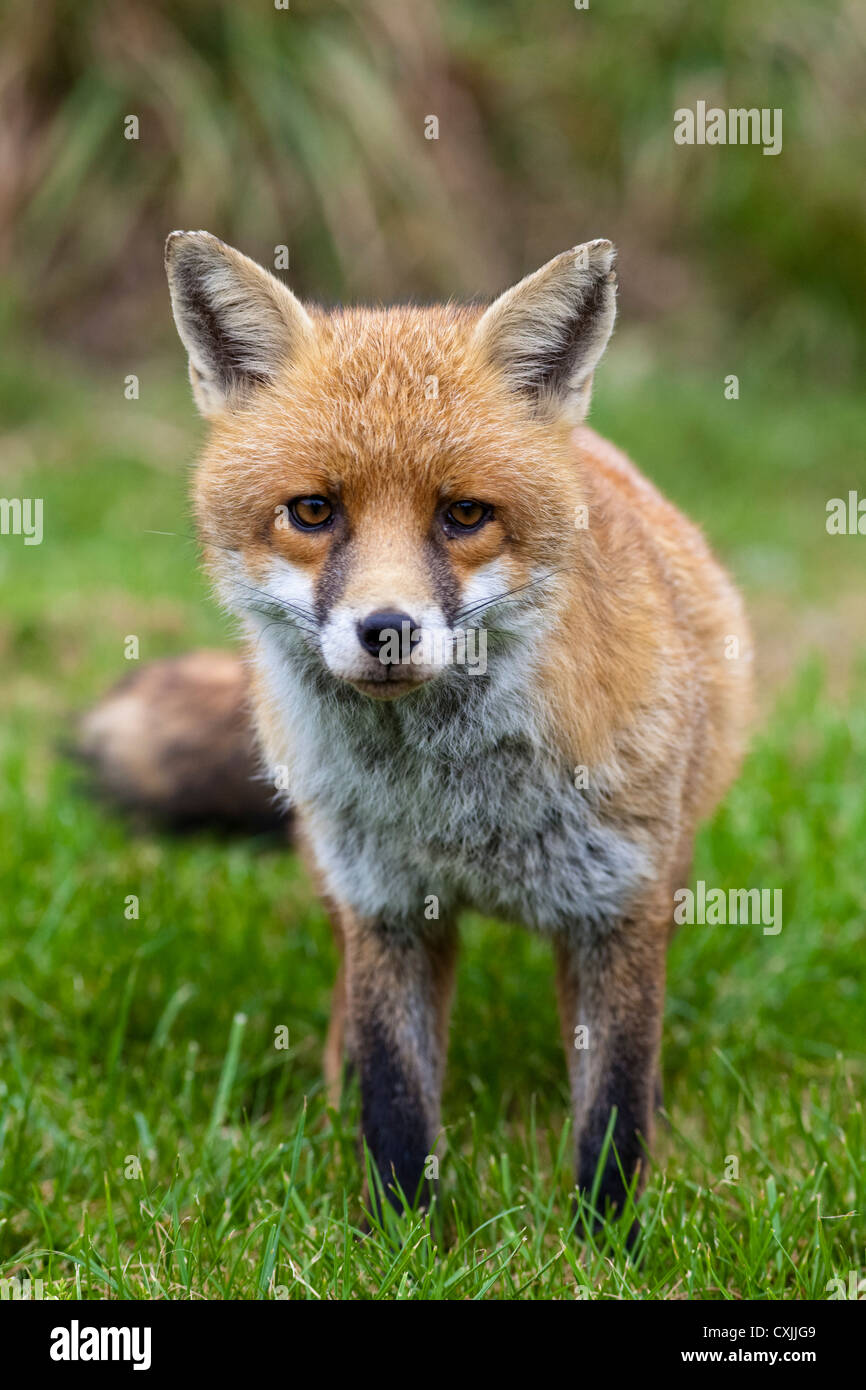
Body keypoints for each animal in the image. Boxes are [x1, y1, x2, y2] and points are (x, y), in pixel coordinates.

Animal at [81, 230, 752, 1230]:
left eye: (464, 514)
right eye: (313, 511)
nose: (386, 628)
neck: (457, 807)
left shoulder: (620, 905)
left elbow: (613, 1114)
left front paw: (609, 1241)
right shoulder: (386, 907)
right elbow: (396, 1103)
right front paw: (400, 1235)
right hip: (335, 880)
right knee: (347, 1017)